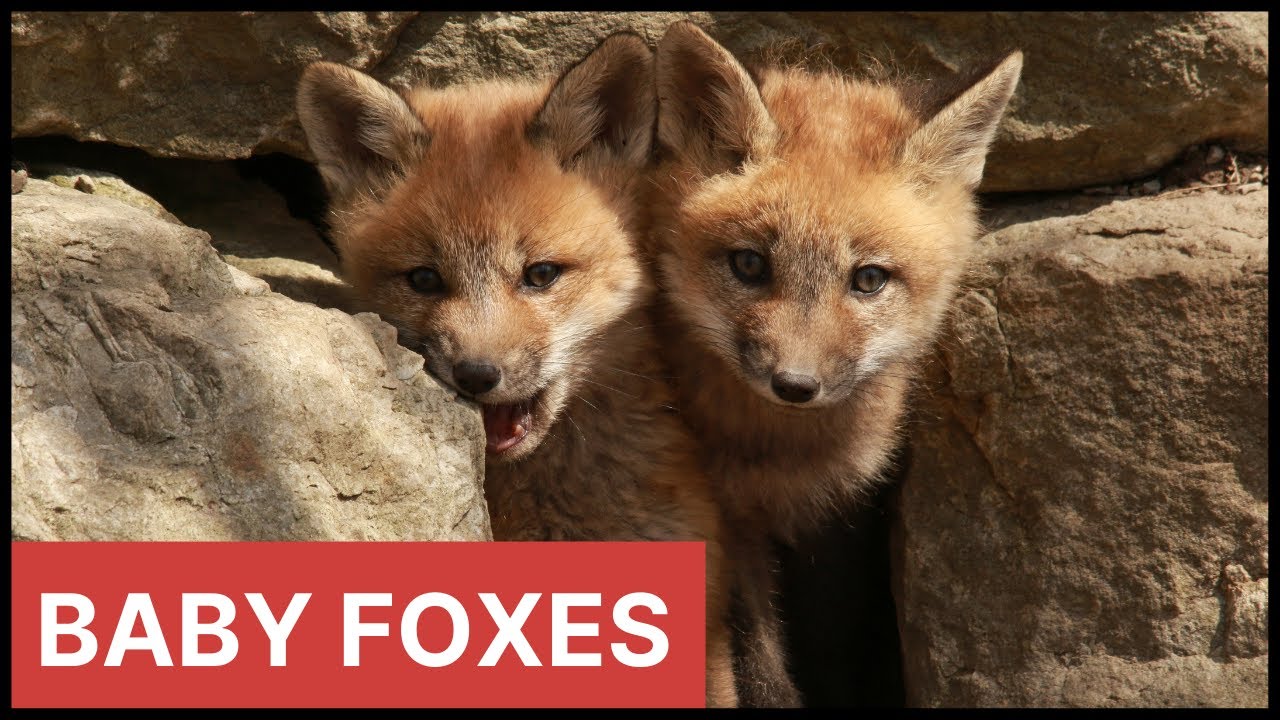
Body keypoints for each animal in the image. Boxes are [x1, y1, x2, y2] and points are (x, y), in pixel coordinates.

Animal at [644, 22, 1023, 706]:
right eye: (749, 264)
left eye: (868, 279)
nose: (795, 385)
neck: (784, 460)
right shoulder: (730, 518)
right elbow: (759, 658)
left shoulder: (844, 513)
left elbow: (839, 640)